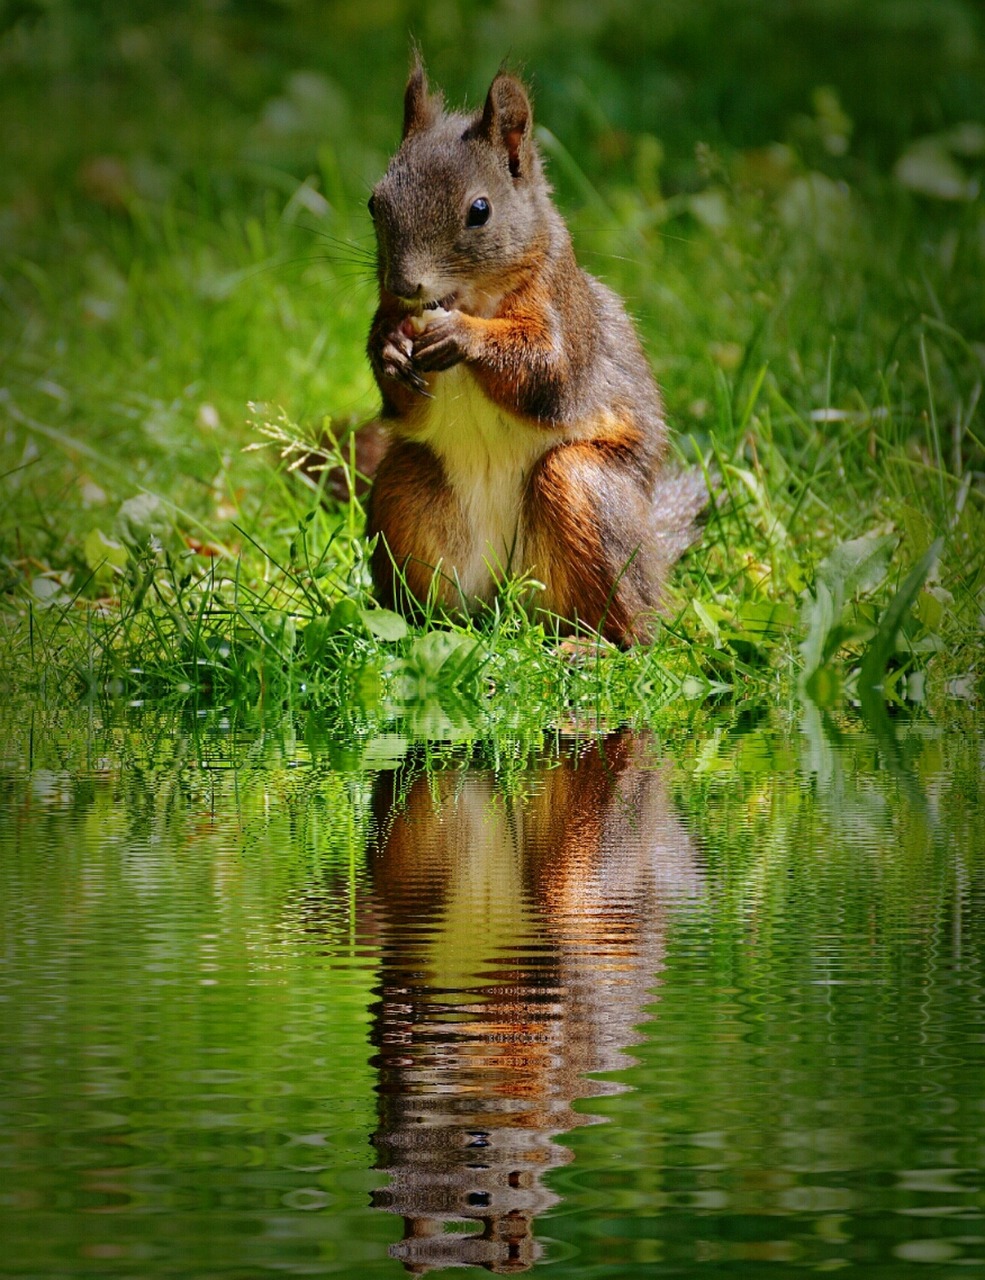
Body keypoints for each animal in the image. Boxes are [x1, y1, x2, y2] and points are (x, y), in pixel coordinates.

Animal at [353, 59, 707, 647]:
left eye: (480, 210)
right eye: (374, 203)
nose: (404, 284)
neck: (473, 299)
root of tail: (505, 598)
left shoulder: (565, 314)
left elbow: (547, 372)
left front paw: (463, 336)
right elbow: (402, 395)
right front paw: (389, 350)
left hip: (584, 490)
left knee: (638, 630)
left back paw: (597, 646)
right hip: (406, 489)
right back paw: (420, 625)